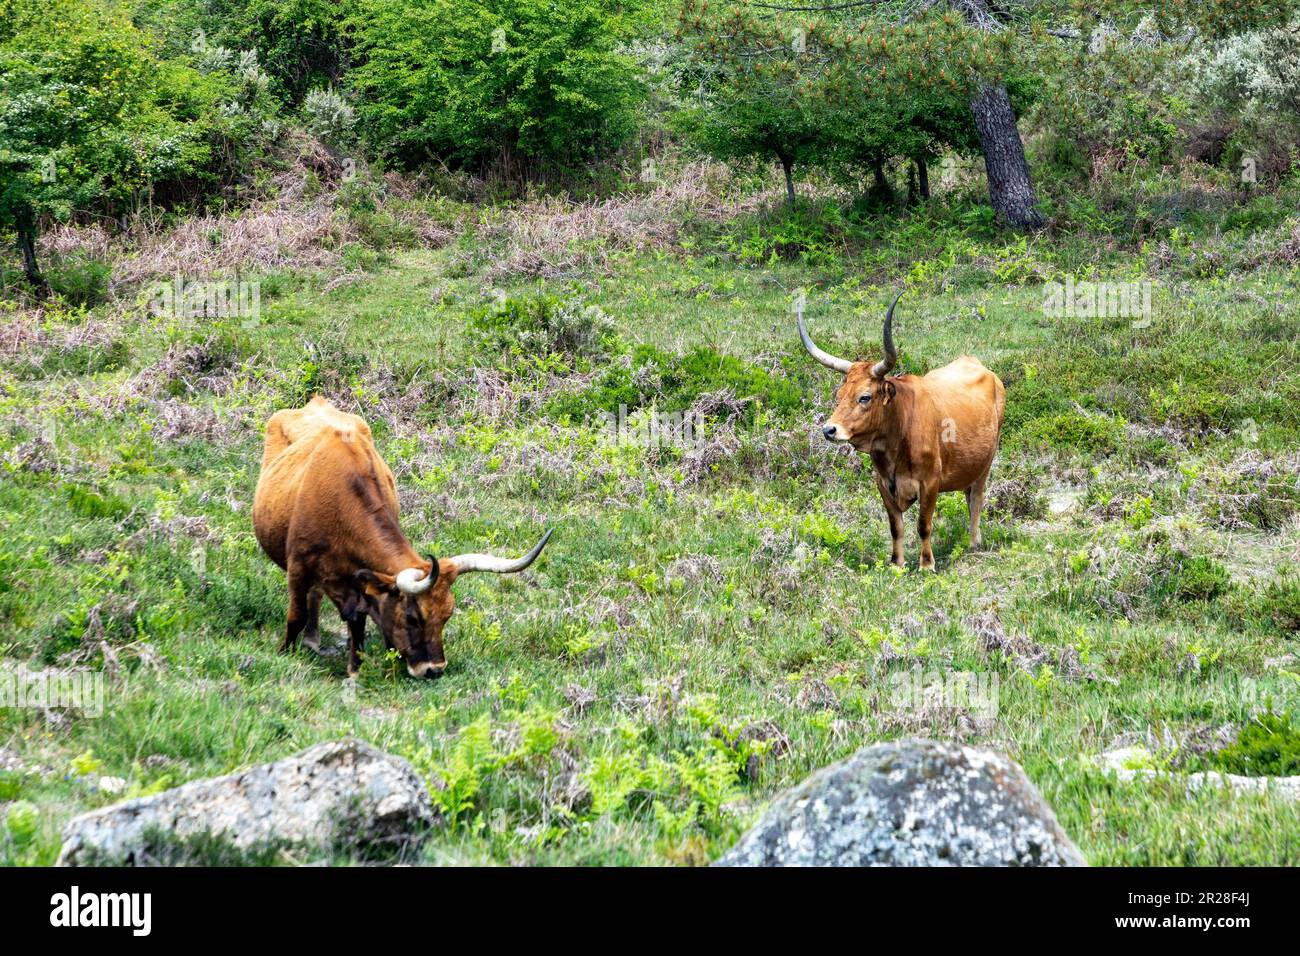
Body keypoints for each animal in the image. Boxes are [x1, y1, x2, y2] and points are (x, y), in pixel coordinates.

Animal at [253, 397, 552, 678]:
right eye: (412, 617)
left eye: (447, 614)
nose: (433, 670)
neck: (340, 508)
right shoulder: (298, 567)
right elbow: (296, 615)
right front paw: (285, 653)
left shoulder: (360, 584)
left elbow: (357, 623)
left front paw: (354, 668)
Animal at [797, 291, 1005, 571]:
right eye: (839, 396)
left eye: (865, 397)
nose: (829, 430)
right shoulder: (883, 484)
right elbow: (896, 526)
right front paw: (897, 563)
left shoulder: (930, 483)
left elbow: (923, 524)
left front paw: (926, 564)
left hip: (986, 463)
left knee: (977, 499)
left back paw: (974, 542)